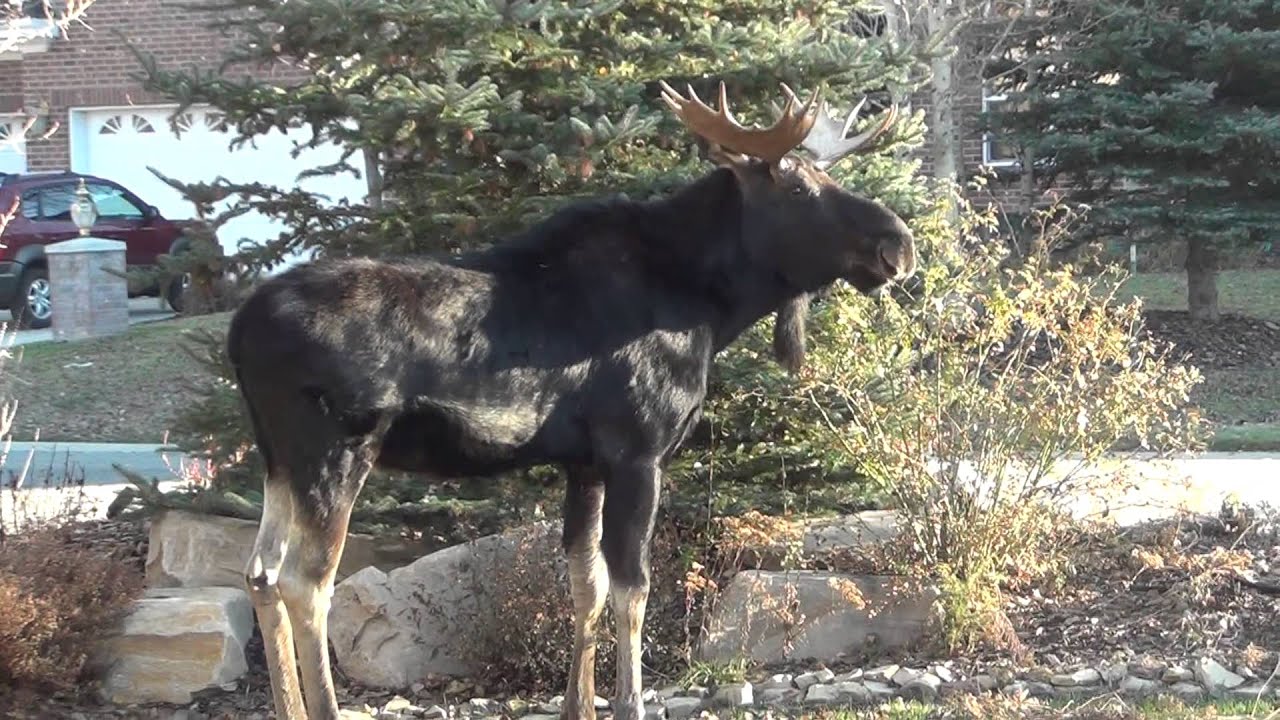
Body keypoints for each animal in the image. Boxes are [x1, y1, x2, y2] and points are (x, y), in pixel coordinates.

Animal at [226, 79, 916, 720]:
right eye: (798, 188)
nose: (898, 246)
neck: (711, 306)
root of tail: (237, 332)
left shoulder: (583, 463)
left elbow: (586, 583)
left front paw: (578, 704)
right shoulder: (638, 452)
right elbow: (633, 587)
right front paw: (630, 701)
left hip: (276, 458)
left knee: (261, 572)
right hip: (337, 449)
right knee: (306, 582)